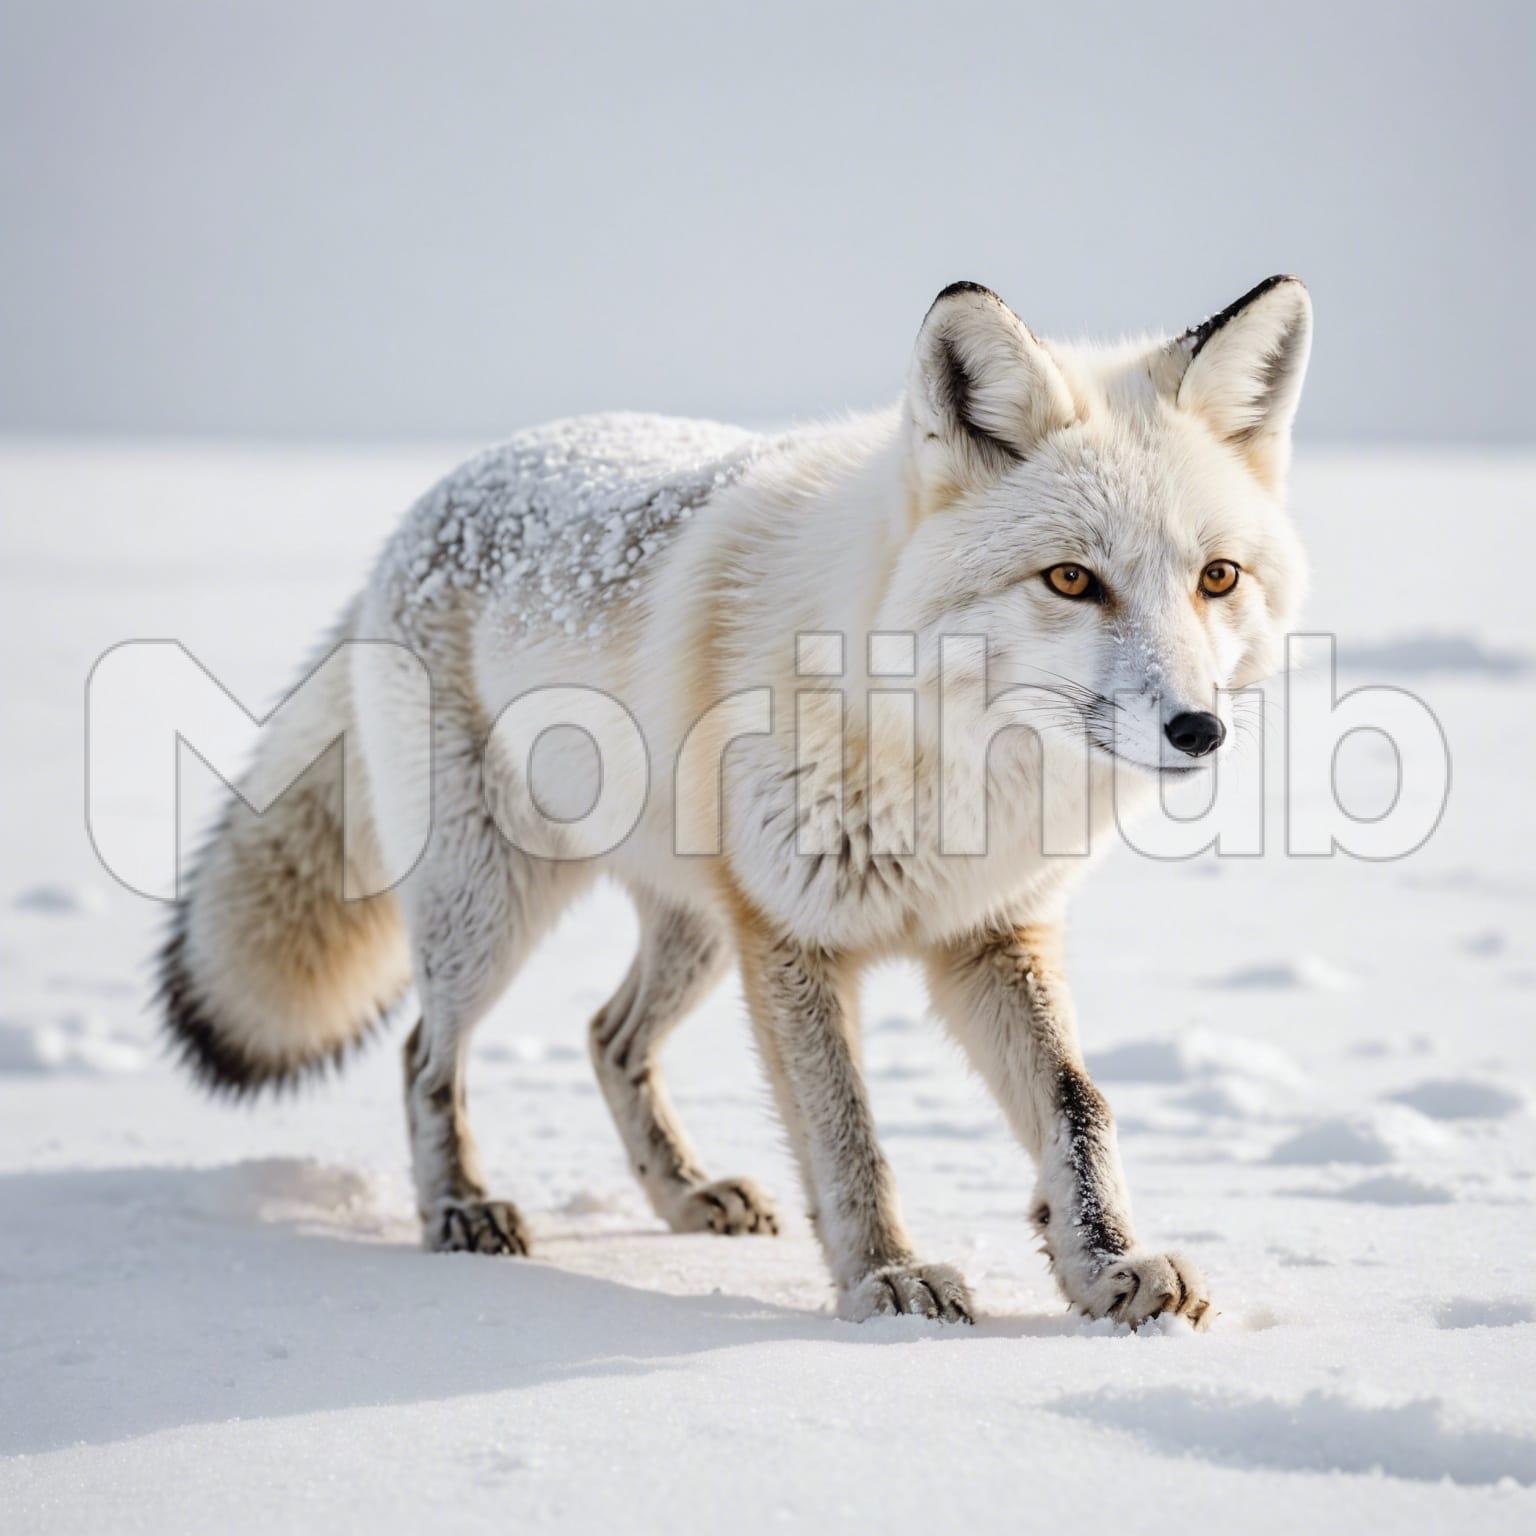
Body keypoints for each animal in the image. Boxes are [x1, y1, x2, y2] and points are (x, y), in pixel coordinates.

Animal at [159, 275, 1311, 1328]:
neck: (949, 767)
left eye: (1217, 578)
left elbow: (1079, 1106)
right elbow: (847, 1132)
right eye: (1071, 580)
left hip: (702, 928)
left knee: (606, 1035)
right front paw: (889, 1282)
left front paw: (1107, 1267)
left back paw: (682, 1194)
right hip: (492, 908)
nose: (1197, 730)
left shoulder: (989, 930)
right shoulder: (797, 936)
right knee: (423, 1057)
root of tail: (434, 498)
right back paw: (460, 1209)